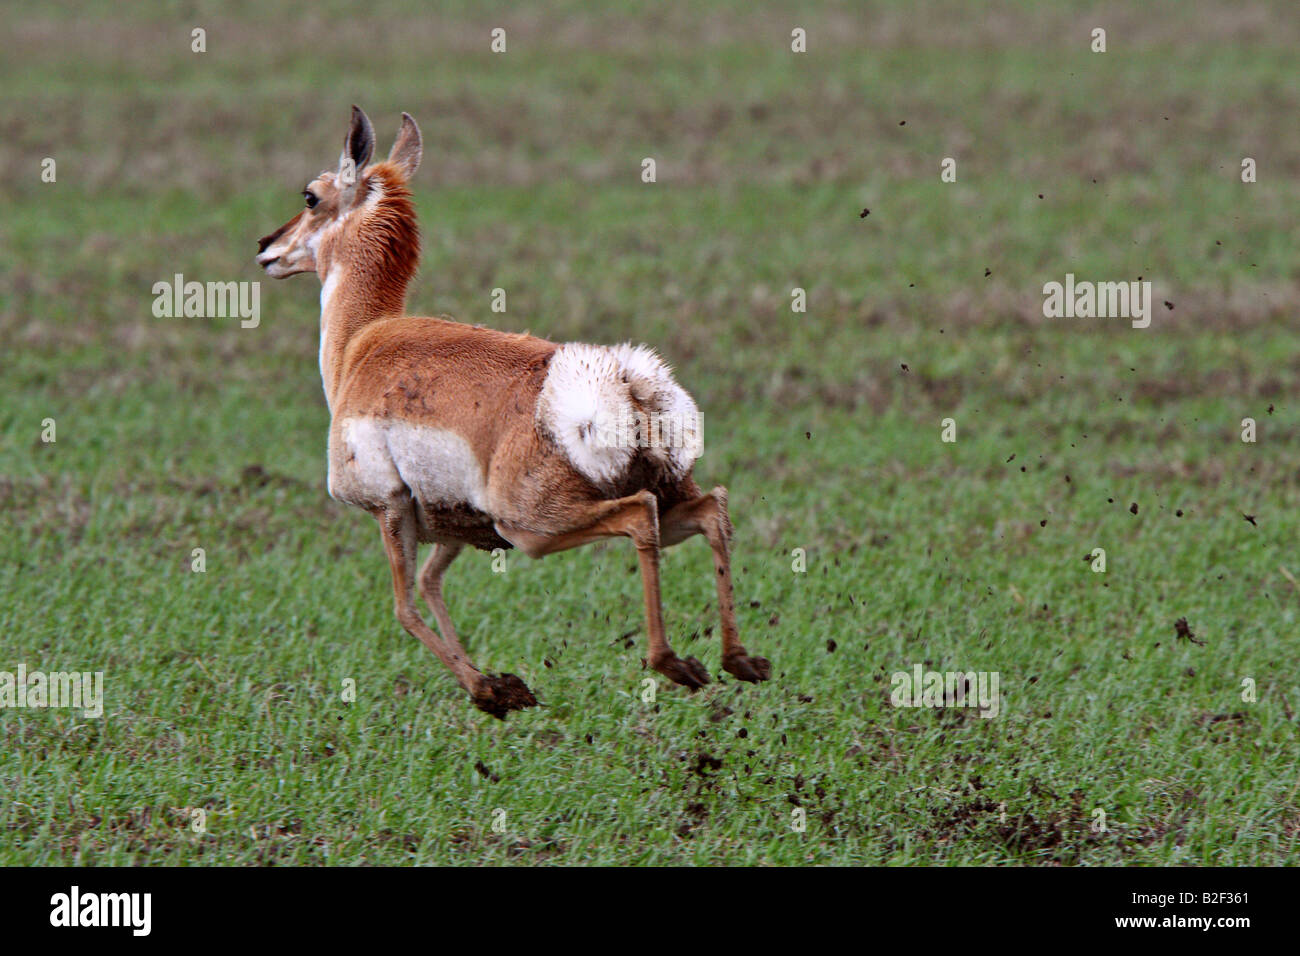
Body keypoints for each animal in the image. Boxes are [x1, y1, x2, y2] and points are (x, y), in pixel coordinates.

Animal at [256, 106, 770, 717]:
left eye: (311, 196)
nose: (265, 245)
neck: (363, 342)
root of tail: (626, 383)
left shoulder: (390, 509)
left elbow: (405, 607)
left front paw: (488, 691)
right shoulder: (452, 532)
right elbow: (430, 586)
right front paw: (501, 685)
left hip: (531, 528)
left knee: (638, 515)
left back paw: (671, 663)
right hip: (661, 503)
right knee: (713, 509)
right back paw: (739, 661)